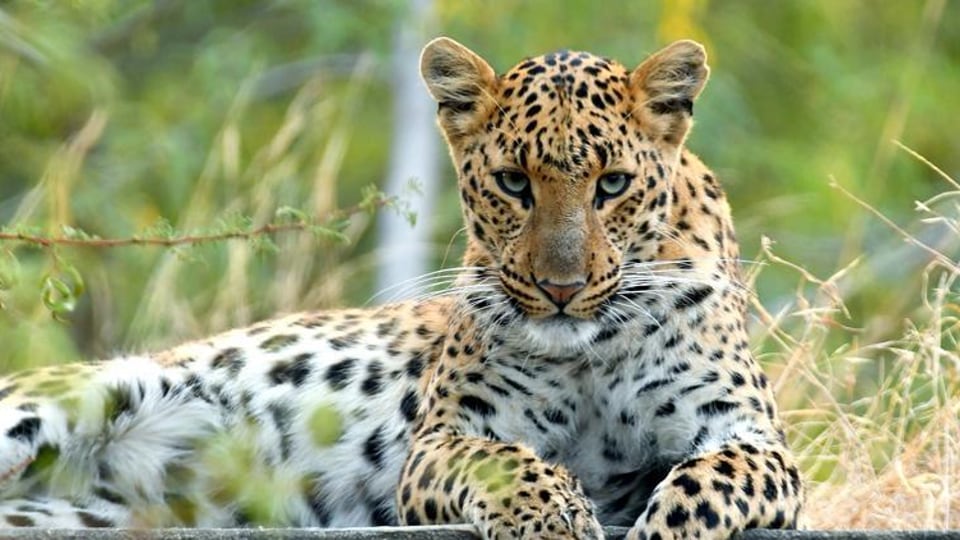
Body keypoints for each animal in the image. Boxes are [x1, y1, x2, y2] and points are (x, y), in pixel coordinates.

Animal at [0, 37, 803, 539]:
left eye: (612, 186)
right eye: (514, 183)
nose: (561, 288)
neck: (588, 353)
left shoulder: (754, 436)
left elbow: (714, 478)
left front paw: (664, 527)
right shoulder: (445, 439)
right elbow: (506, 463)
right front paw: (553, 516)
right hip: (79, 395)